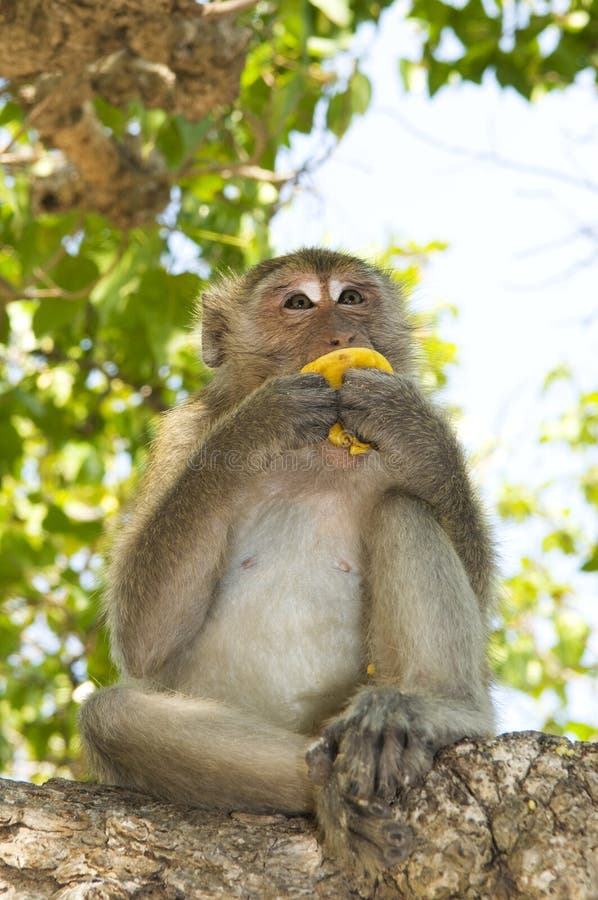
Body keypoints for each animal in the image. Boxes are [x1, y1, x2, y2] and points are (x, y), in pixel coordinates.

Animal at [79, 247, 495, 874]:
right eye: (299, 303)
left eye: (352, 297)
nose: (342, 332)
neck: (320, 449)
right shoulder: (187, 432)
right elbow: (144, 638)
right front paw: (264, 419)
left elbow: (477, 582)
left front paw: (408, 423)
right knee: (112, 717)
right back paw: (326, 788)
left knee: (404, 510)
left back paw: (430, 710)